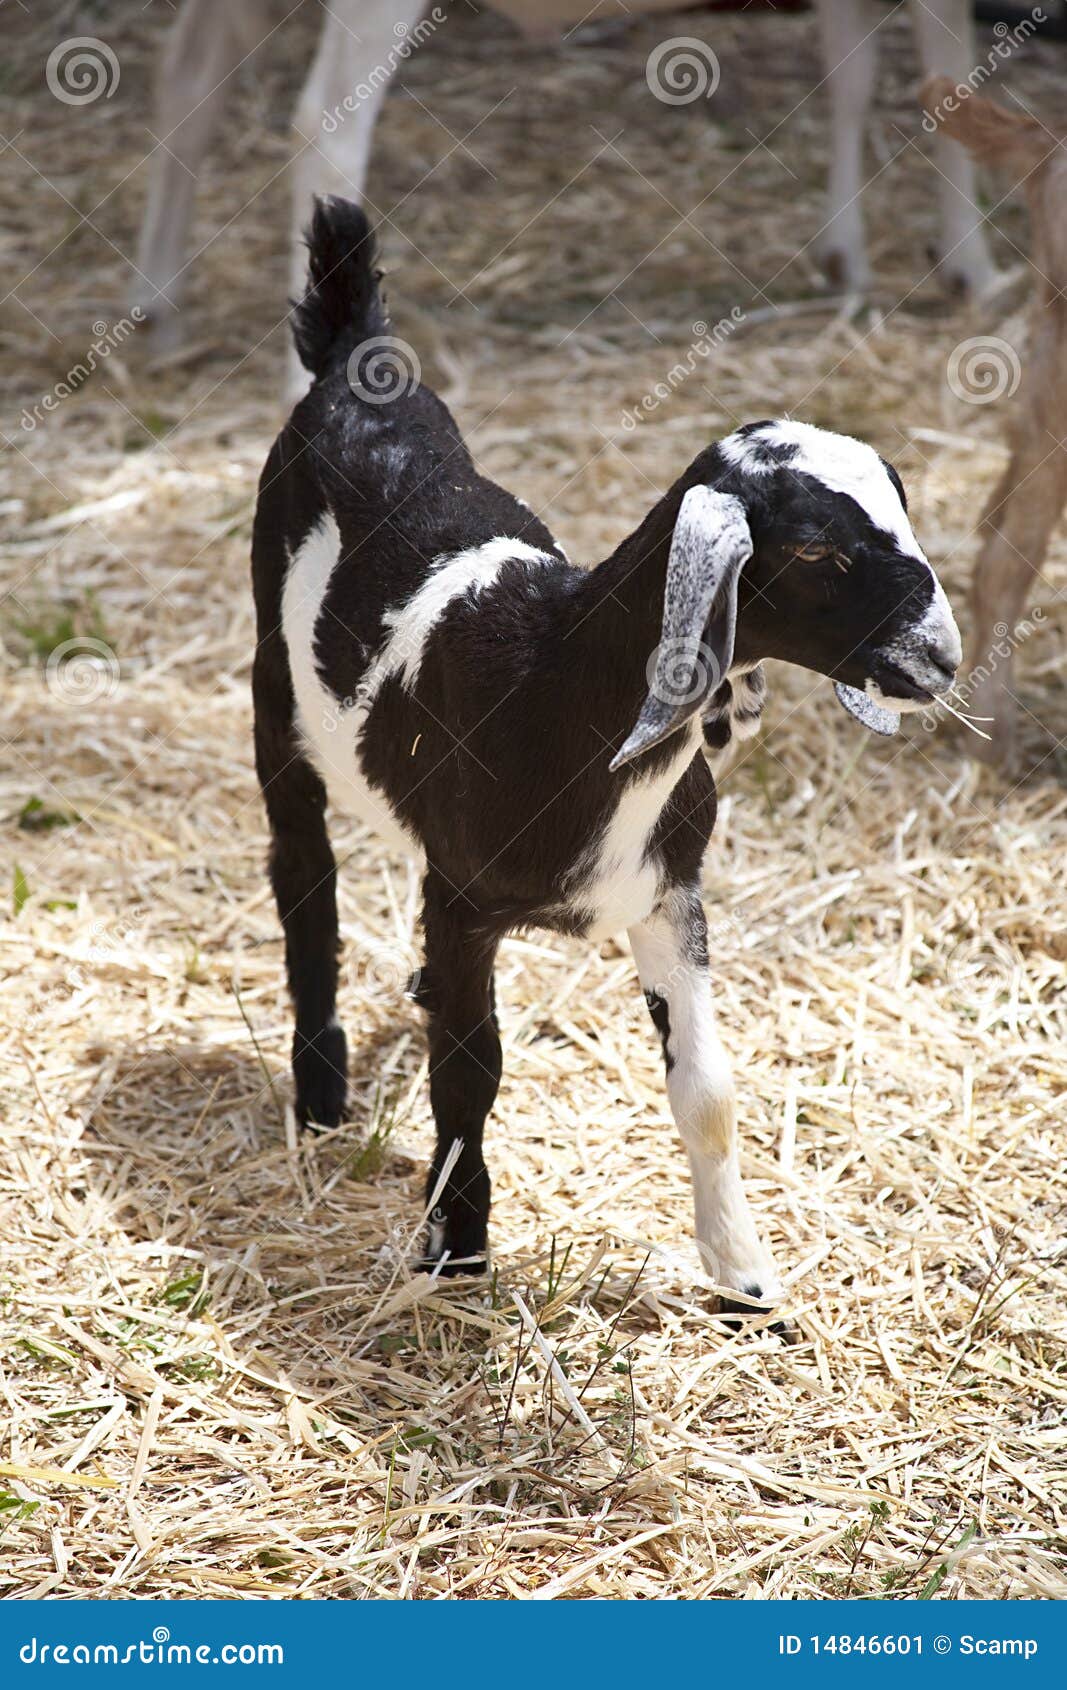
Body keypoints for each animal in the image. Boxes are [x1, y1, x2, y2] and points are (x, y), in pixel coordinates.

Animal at [136, 0, 994, 397]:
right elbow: (949, 78)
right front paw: (972, 265)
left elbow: (851, 73)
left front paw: (845, 255)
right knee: (323, 122)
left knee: (187, 81)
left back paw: (156, 305)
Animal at [252, 196, 962, 1311]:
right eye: (813, 548)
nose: (938, 657)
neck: (553, 683)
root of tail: (352, 358)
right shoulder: (462, 900)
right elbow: (470, 1070)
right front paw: (456, 1252)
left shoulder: (670, 889)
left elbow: (707, 1088)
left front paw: (743, 1278)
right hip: (273, 705)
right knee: (303, 880)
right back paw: (321, 1094)